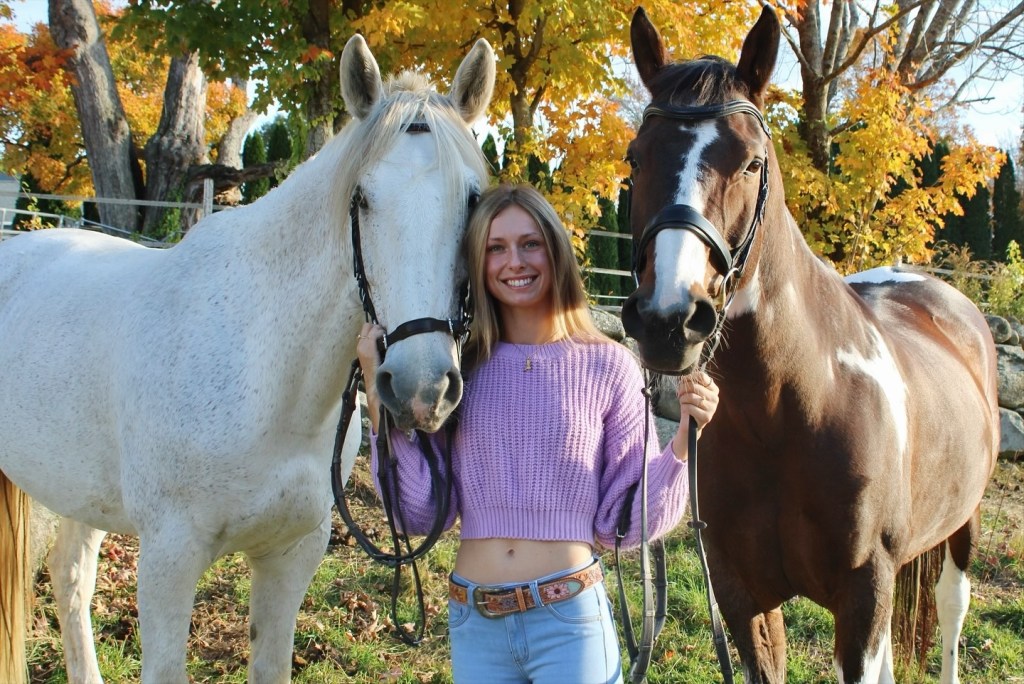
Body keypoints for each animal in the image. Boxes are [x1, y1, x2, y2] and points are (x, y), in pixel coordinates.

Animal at [0, 34, 495, 683]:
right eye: (361, 199)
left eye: (473, 199)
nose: (421, 388)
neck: (267, 378)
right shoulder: (168, 561)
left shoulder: (289, 558)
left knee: (70, 579)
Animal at [622, 7, 999, 683]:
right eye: (637, 159)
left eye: (751, 162)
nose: (669, 319)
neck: (793, 407)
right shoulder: (742, 597)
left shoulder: (864, 594)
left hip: (963, 522)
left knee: (952, 606)